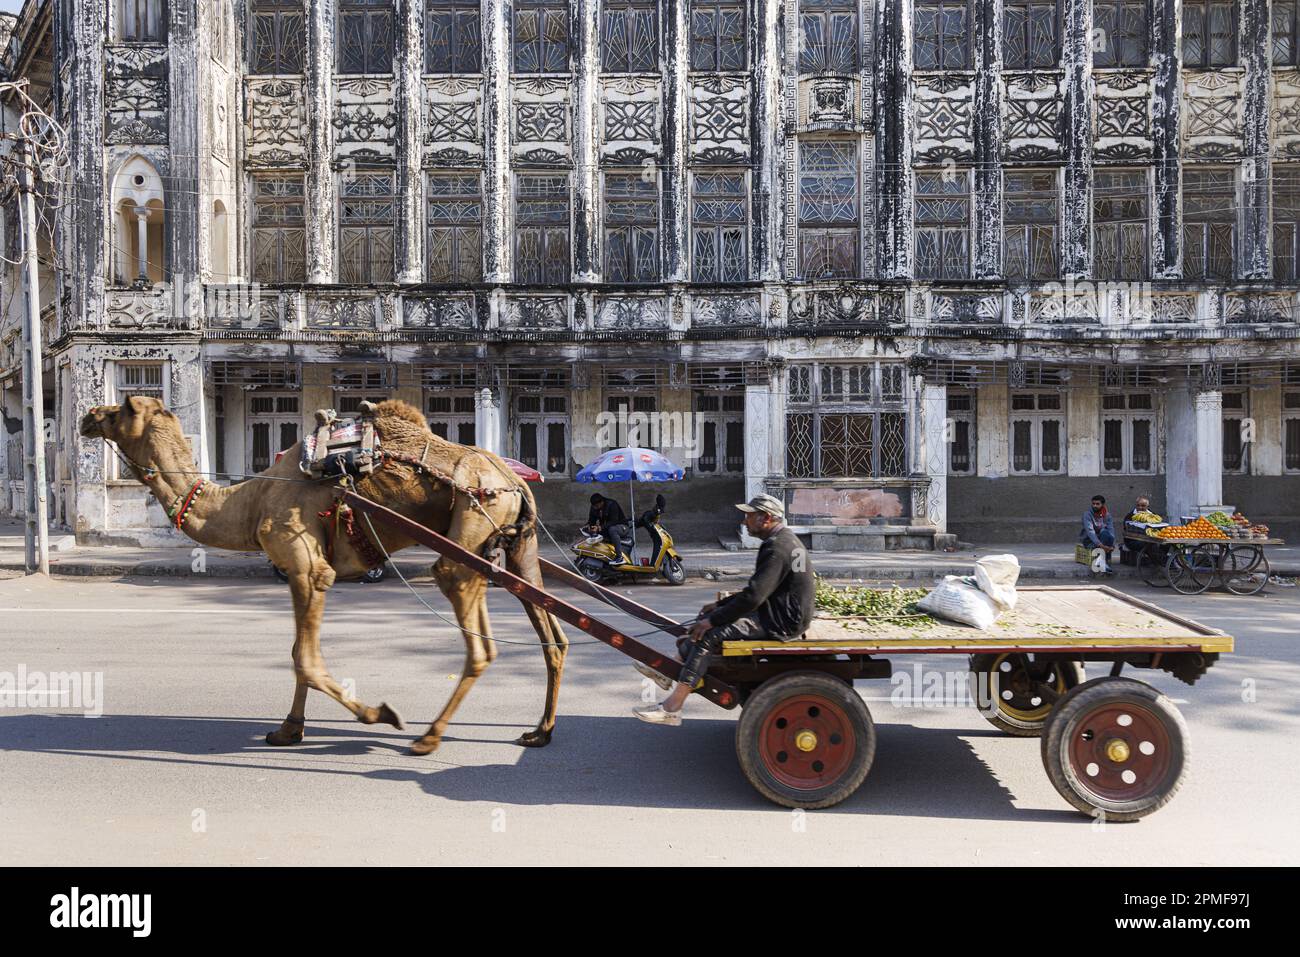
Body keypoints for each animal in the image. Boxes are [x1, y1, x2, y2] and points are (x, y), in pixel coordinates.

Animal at [79, 395, 569, 754]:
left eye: (122, 409)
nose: (88, 416)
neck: (250, 501)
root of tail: (514, 479)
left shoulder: (306, 567)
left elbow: (306, 659)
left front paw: (380, 714)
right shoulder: (303, 572)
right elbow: (298, 653)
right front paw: (287, 729)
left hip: (470, 527)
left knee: (478, 638)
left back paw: (429, 736)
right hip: (513, 549)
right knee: (550, 631)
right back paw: (539, 731)